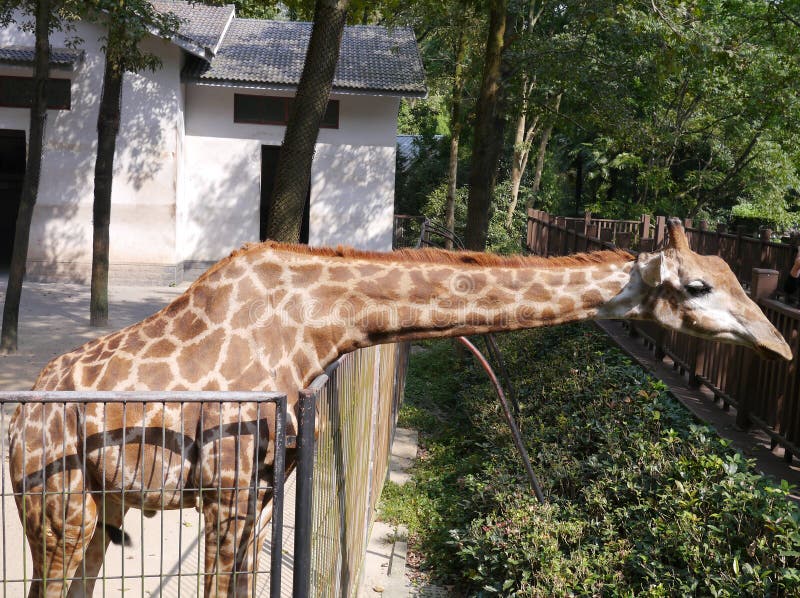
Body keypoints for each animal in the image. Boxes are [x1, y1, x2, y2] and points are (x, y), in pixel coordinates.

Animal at [9, 218, 792, 597]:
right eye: (696, 286)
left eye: (730, 275)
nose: (780, 345)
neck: (315, 324)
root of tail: (20, 418)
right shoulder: (224, 494)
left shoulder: (261, 492)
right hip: (57, 511)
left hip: (97, 512)